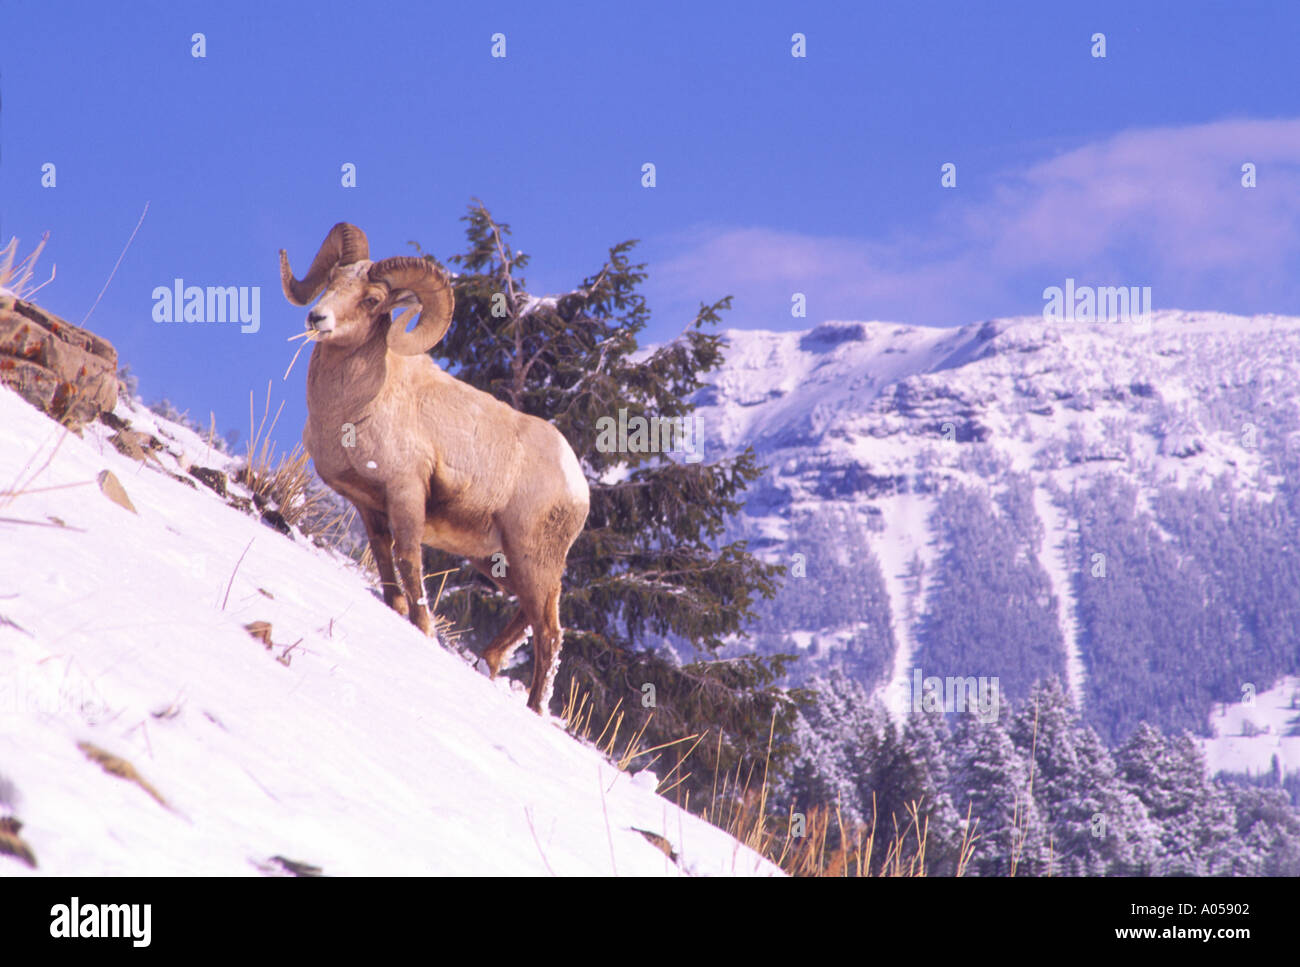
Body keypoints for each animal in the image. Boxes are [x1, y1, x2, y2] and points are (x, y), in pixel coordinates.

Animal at [279, 222, 590, 713]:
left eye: (372, 299)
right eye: (332, 281)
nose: (318, 319)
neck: (353, 409)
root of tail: (578, 486)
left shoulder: (406, 496)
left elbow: (410, 563)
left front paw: (422, 630)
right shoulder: (370, 507)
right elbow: (386, 562)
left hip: (533, 562)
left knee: (550, 633)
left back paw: (533, 707)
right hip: (502, 565)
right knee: (529, 617)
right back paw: (486, 663)